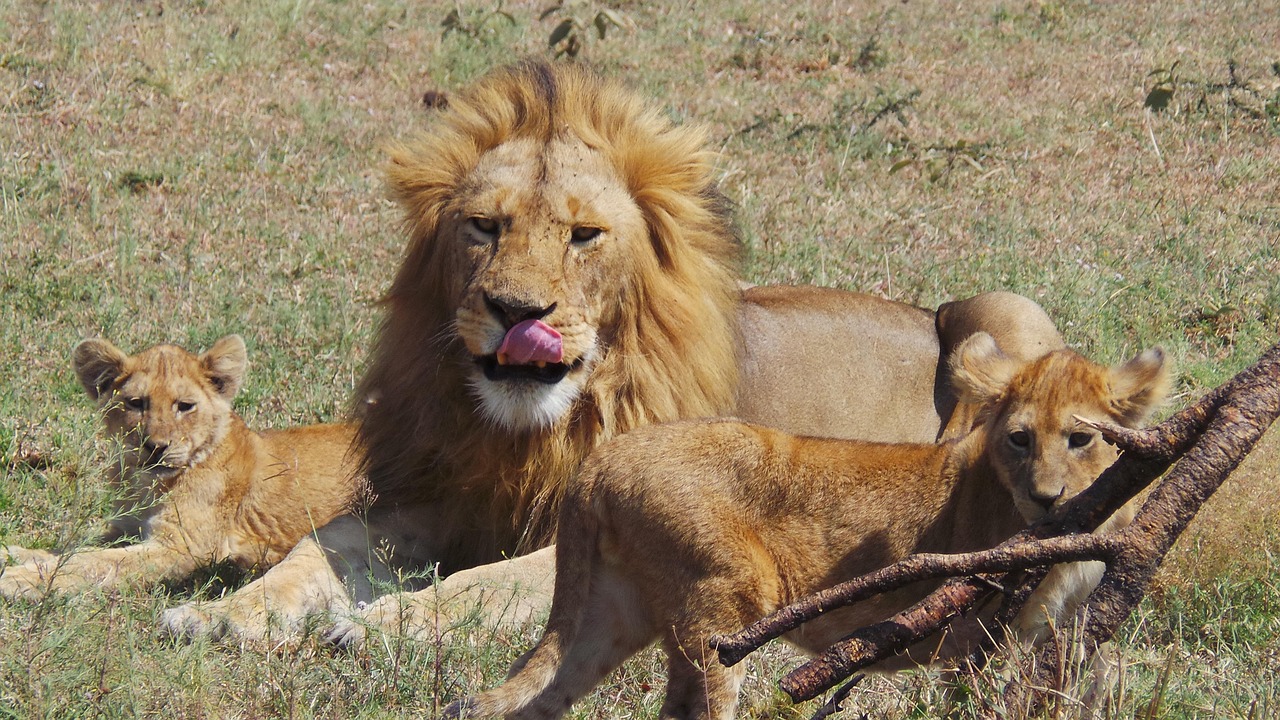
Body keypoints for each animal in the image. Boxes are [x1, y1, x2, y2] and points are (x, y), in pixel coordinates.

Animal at [0, 335, 360, 600]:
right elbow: (74, 546)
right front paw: (15, 553)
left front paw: (16, 578)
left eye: (184, 406)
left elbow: (92, 562)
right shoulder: (123, 528)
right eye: (136, 403)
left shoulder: (180, 548)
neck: (145, 485)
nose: (157, 446)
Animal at [160, 61, 1065, 644]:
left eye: (583, 235)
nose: (517, 312)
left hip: (1005, 313)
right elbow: (320, 545)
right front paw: (222, 612)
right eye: (483, 226)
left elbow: (485, 581)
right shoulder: (450, 500)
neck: (533, 430)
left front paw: (386, 621)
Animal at [445, 334, 1171, 720]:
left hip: (611, 612)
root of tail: (601, 459)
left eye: (1080, 439)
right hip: (729, 599)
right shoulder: (978, 639)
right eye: (1020, 439)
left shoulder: (1059, 637)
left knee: (548, 689)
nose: (1048, 499)